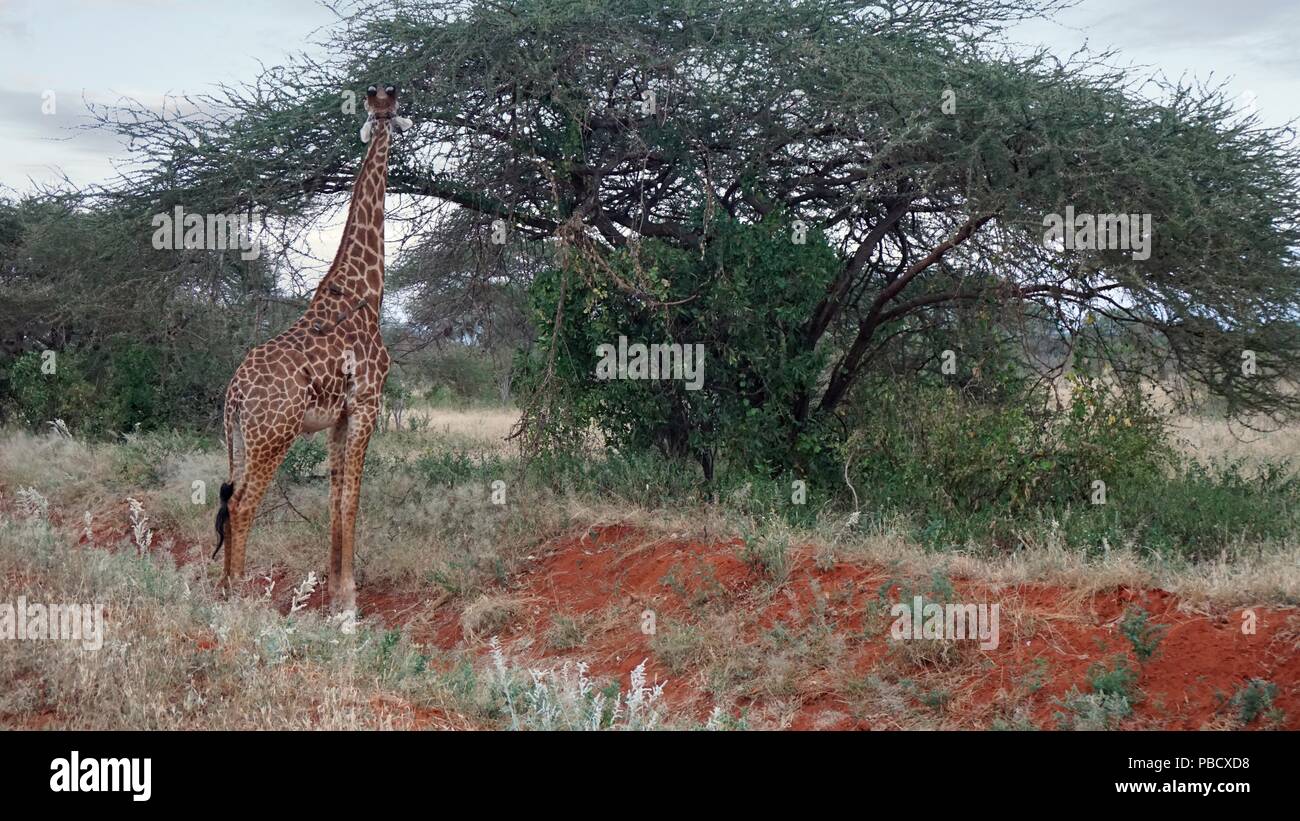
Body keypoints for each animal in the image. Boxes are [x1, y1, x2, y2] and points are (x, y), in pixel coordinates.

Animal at [213, 83, 413, 615]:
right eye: (388, 103)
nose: (385, 105)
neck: (364, 291)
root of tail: (234, 395)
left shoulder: (337, 418)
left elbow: (334, 498)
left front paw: (335, 597)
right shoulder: (367, 404)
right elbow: (352, 499)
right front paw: (349, 604)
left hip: (241, 439)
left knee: (228, 499)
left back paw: (224, 592)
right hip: (273, 435)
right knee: (241, 504)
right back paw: (236, 598)